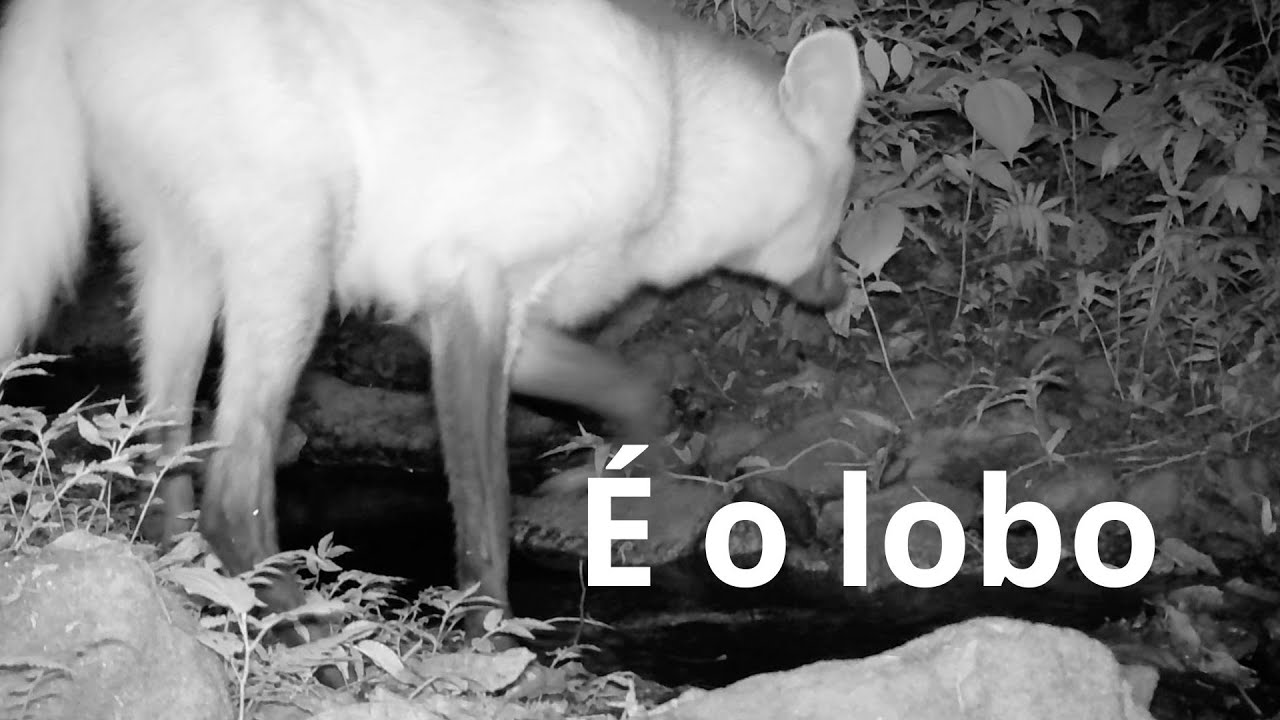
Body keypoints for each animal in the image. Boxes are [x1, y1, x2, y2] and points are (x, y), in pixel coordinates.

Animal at [0, 0, 865, 633]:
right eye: (839, 214)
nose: (840, 296)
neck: (680, 145)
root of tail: (65, 15)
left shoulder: (473, 313)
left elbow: (633, 392)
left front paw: (632, 470)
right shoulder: (468, 290)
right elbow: (485, 518)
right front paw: (495, 643)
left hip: (185, 269)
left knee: (160, 464)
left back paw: (202, 595)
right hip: (295, 256)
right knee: (229, 495)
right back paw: (320, 637)